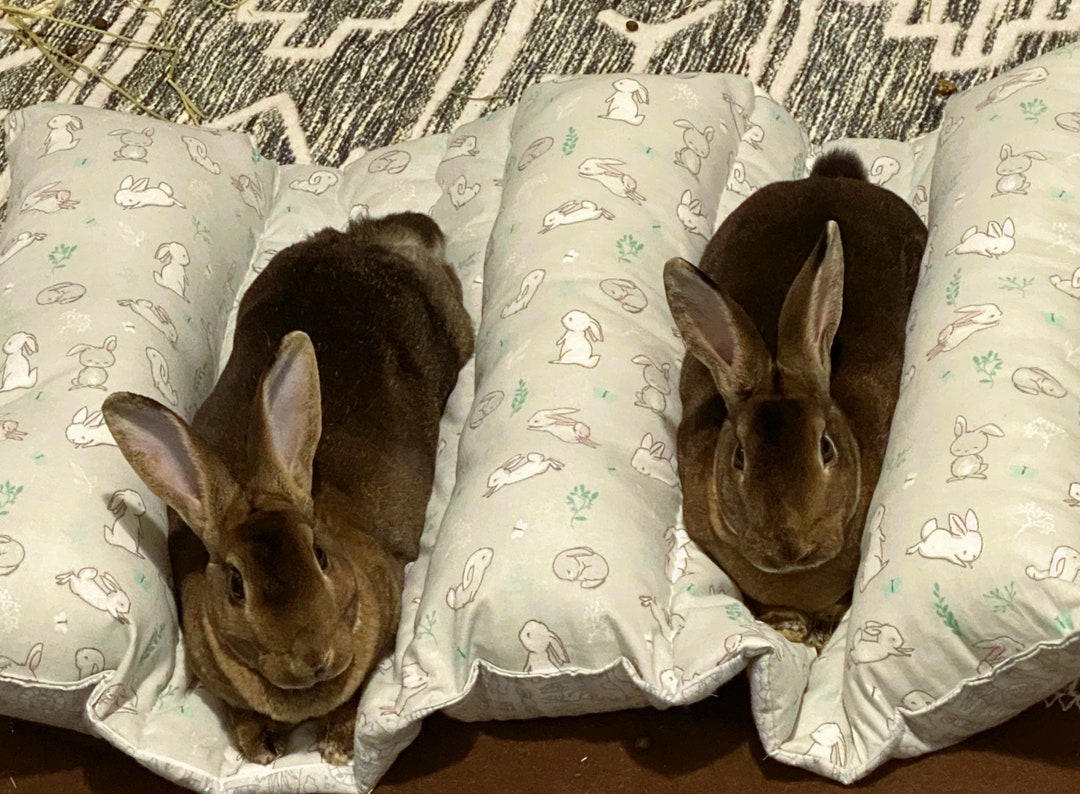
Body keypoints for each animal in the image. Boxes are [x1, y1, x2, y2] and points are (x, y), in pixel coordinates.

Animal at [101, 211, 473, 765]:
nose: (314, 658)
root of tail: (361, 239)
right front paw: (260, 748)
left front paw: (337, 745)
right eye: (235, 586)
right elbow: (240, 711)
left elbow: (357, 691)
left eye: (320, 554)